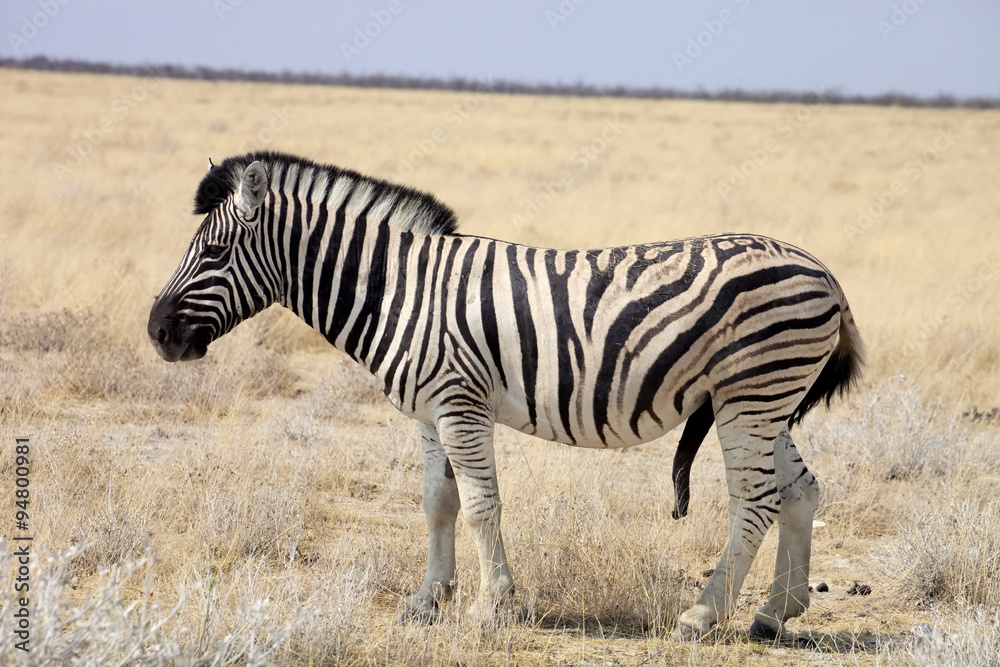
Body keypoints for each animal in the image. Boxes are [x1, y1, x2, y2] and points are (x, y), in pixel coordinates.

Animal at [148, 151, 863, 639]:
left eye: (214, 252)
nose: (156, 333)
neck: (398, 290)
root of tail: (824, 269)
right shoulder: (430, 412)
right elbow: (436, 501)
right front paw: (427, 600)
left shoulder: (459, 404)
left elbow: (480, 506)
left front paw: (494, 606)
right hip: (766, 401)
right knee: (800, 491)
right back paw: (775, 612)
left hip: (751, 396)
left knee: (756, 501)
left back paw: (704, 614)